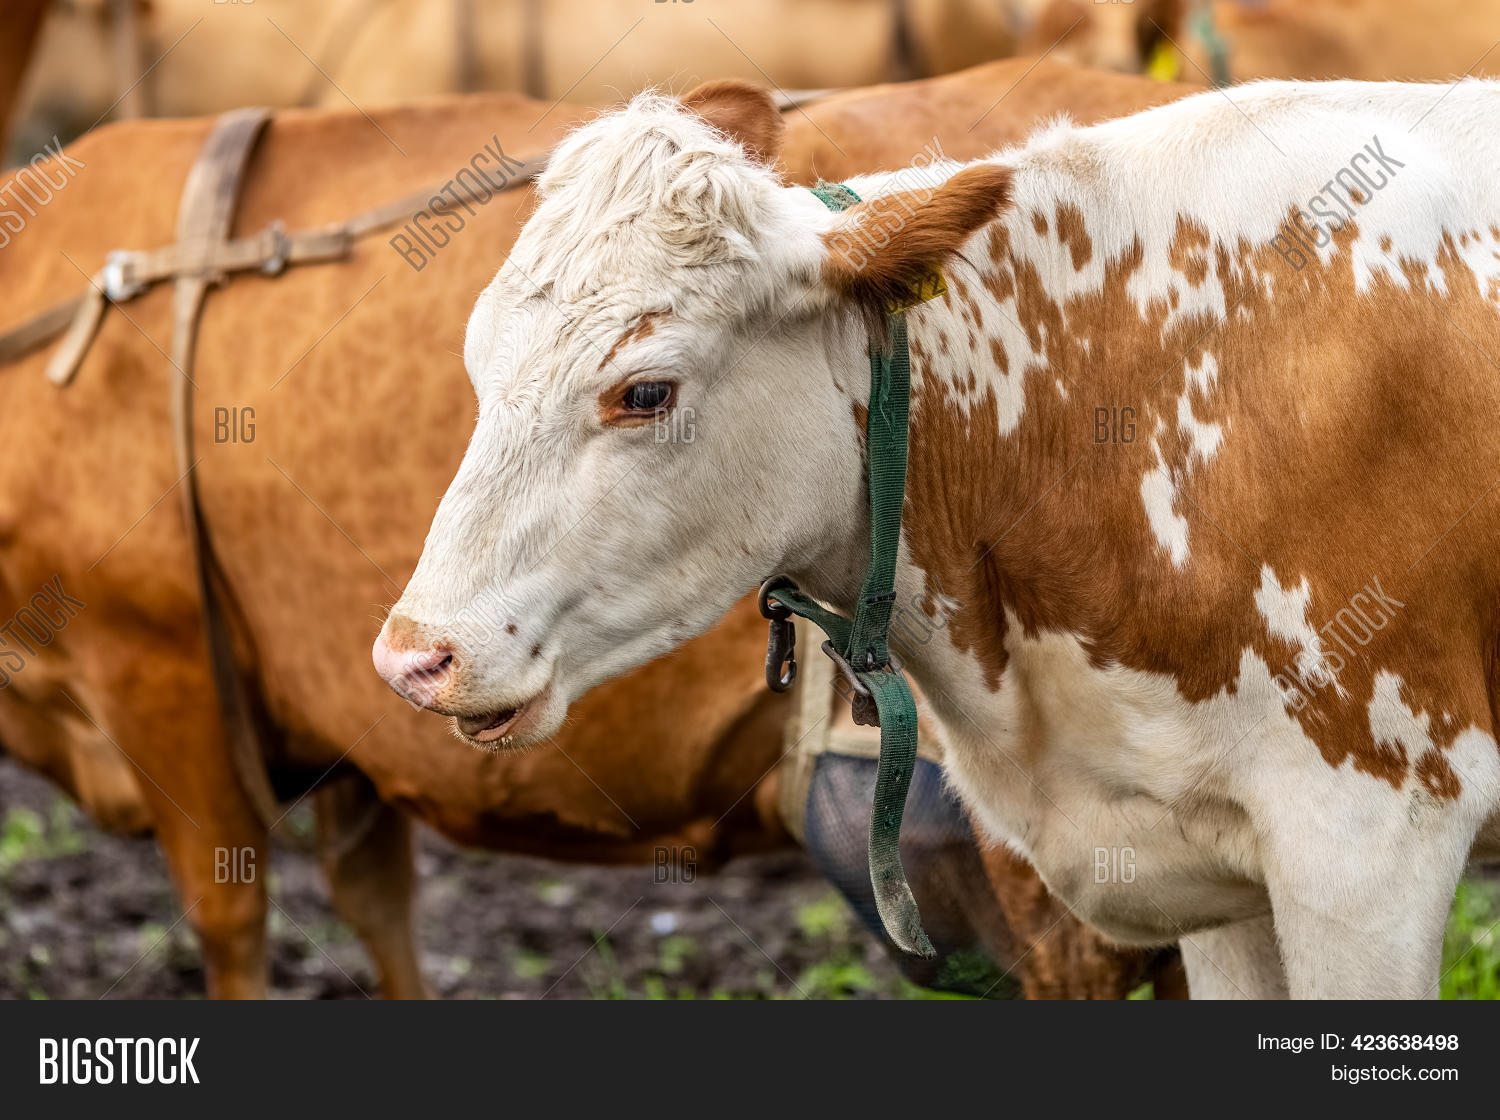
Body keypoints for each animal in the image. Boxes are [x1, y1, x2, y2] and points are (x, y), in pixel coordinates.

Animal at [0, 59, 1194, 998]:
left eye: (644, 391)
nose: (414, 655)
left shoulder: (165, 688)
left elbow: (231, 924)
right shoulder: (343, 749)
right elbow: (379, 909)